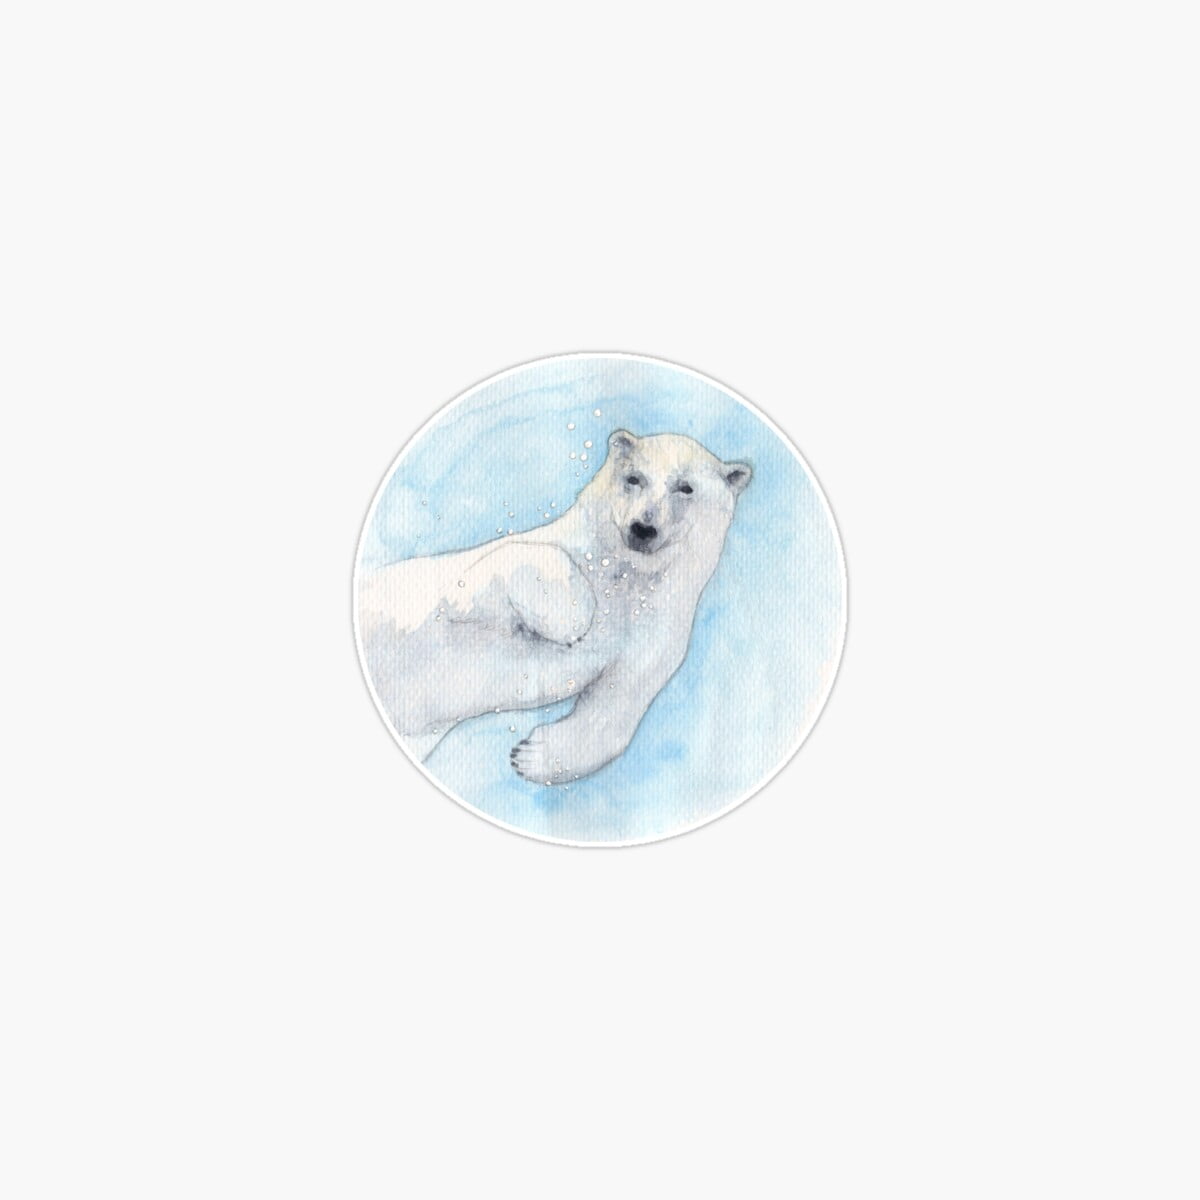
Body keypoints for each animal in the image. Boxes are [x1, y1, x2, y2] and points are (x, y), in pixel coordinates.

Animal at [356, 429, 751, 784]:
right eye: (634, 477)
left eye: (686, 487)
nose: (642, 528)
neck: (625, 577)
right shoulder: (461, 584)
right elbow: (494, 576)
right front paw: (573, 623)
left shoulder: (656, 629)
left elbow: (620, 700)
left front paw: (532, 756)